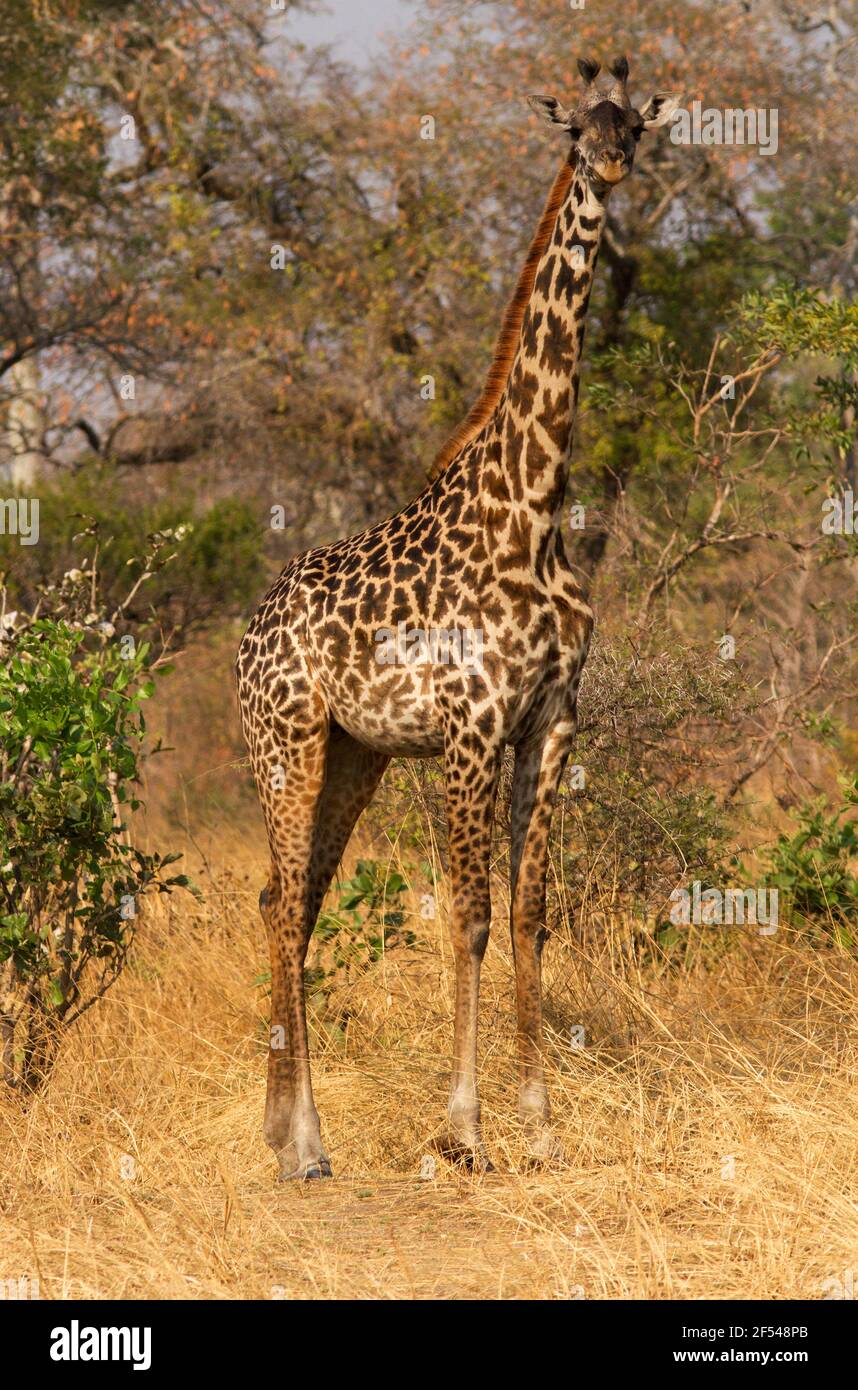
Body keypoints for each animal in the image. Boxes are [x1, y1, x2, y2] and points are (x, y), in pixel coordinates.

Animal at [236, 57, 681, 1180]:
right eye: (573, 130)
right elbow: (470, 919)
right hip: (285, 743)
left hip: (355, 753)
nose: (609, 167)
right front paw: (464, 1128)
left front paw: (543, 1127)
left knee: (289, 899)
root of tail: (243, 638)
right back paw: (305, 1146)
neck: (535, 508)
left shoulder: (554, 721)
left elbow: (532, 917)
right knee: (281, 900)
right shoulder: (473, 725)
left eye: (635, 126)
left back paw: (289, 1130)